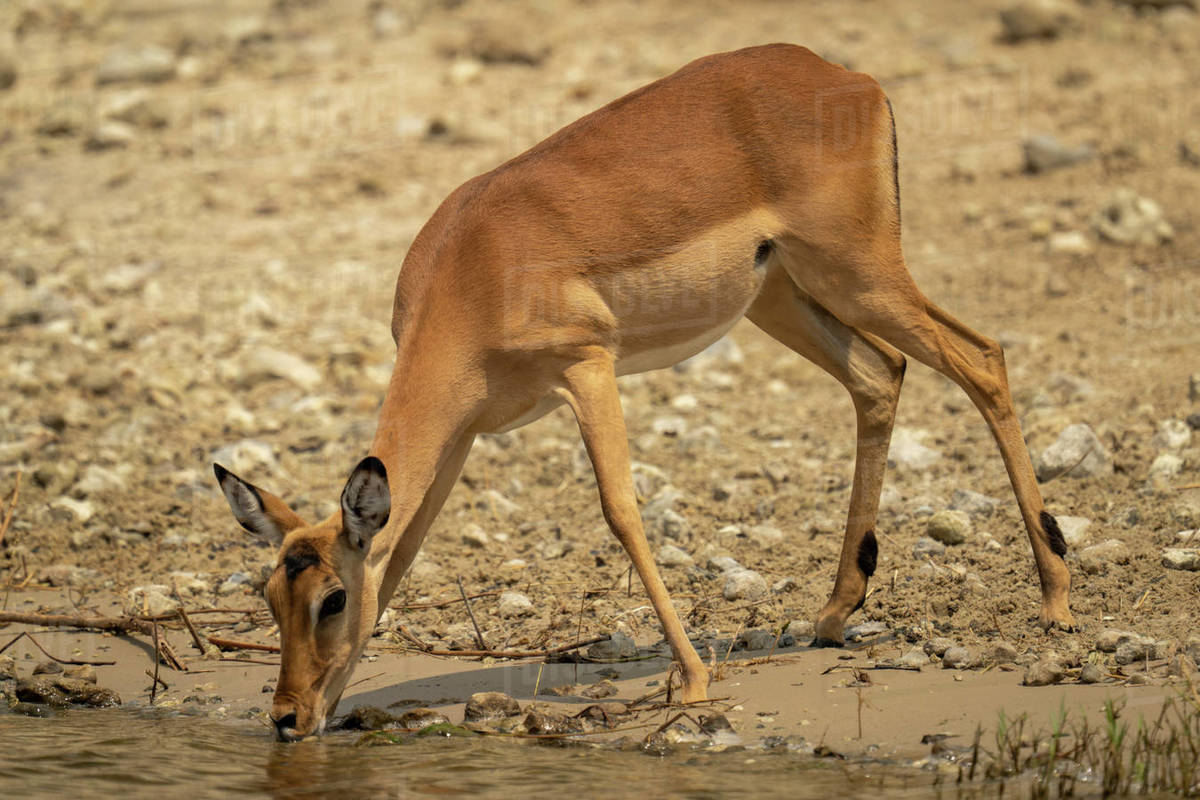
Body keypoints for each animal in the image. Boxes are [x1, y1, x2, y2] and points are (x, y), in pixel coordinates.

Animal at [213, 44, 1074, 742]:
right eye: (268, 594)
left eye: (330, 599)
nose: (285, 718)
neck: (474, 265)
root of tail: (849, 79)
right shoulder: (466, 433)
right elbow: (405, 548)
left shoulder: (588, 366)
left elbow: (621, 510)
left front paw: (690, 679)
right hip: (784, 296)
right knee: (879, 374)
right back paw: (833, 614)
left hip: (858, 273)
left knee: (983, 358)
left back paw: (1057, 600)